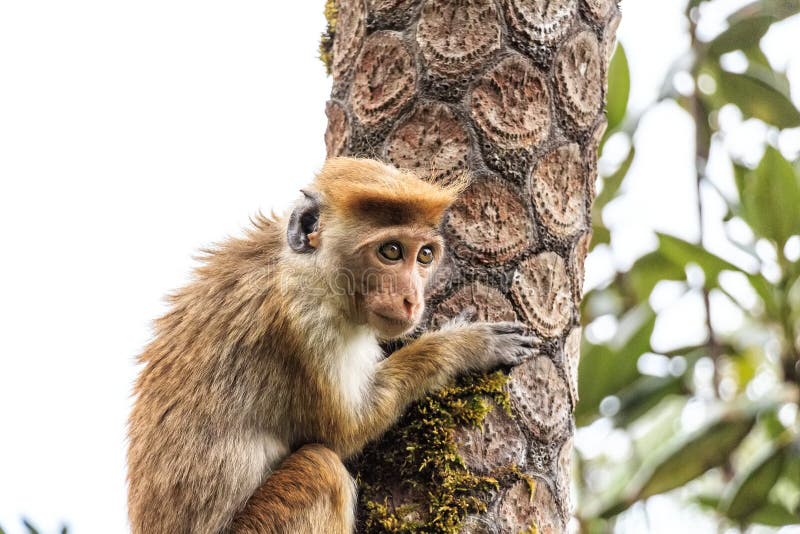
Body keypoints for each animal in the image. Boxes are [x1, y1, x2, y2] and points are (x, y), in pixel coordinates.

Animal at [127, 157, 538, 533]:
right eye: (391, 251)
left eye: (425, 255)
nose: (412, 300)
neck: (298, 265)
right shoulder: (308, 325)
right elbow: (348, 430)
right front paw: (467, 344)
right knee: (319, 468)